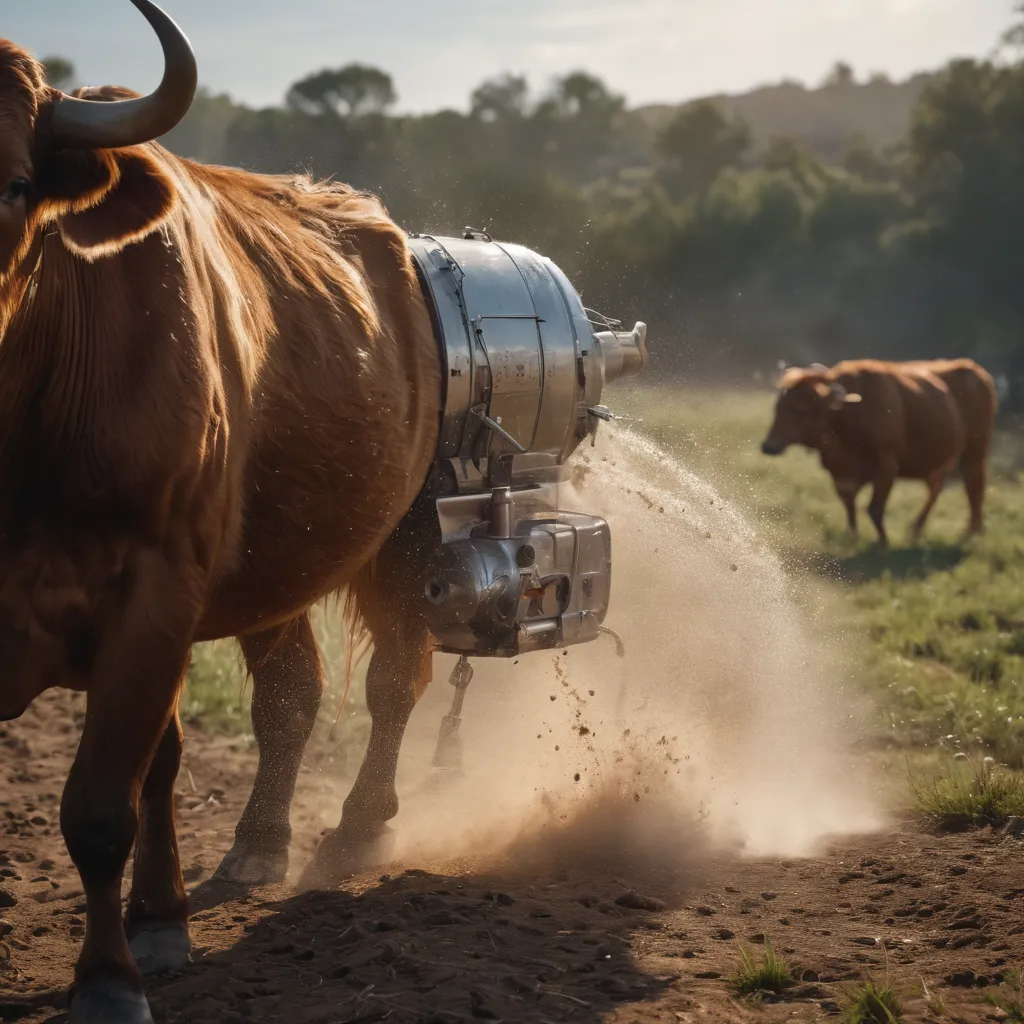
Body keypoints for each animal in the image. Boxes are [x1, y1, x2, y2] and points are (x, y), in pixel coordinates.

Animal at [0, 3, 452, 1021]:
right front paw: (155, 923)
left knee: (392, 683)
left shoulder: (155, 595)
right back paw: (253, 846)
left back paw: (355, 831)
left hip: (408, 537)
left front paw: (111, 979)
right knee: (289, 697)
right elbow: (156, 770)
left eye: (13, 184)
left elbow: (101, 806)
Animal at [760, 358, 997, 547]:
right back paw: (917, 527)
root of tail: (973, 370)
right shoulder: (841, 473)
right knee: (937, 488)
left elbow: (874, 509)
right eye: (778, 406)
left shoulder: (886, 467)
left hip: (975, 452)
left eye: (800, 409)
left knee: (974, 486)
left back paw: (972, 532)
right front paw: (853, 536)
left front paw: (883, 542)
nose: (768, 446)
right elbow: (849, 504)